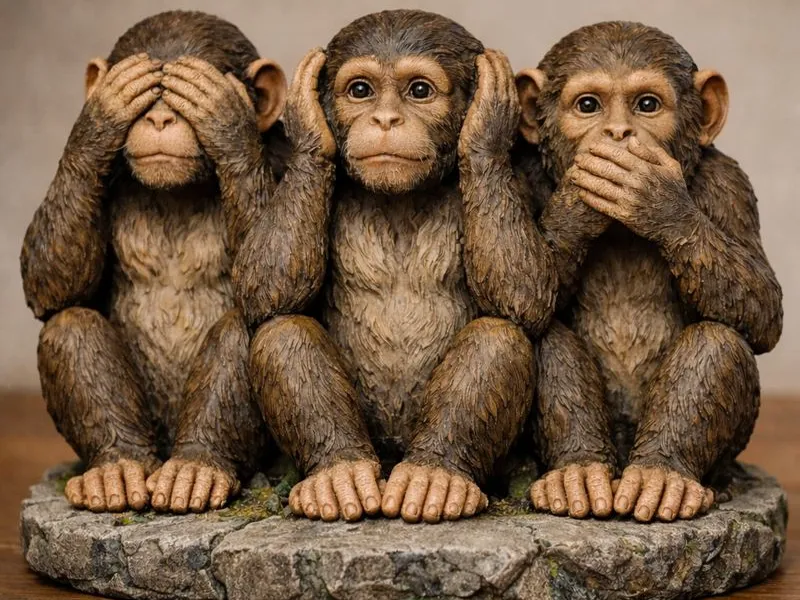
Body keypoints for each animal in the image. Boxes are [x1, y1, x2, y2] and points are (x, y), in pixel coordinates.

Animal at [20, 11, 289, 513]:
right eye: (148, 92)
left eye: (181, 94)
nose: (160, 116)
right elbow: (49, 282)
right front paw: (102, 113)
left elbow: (276, 273)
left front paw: (225, 120)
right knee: (69, 322)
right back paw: (117, 468)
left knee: (242, 324)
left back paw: (198, 466)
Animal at [232, 9, 559, 523]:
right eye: (360, 90)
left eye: (419, 91)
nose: (385, 118)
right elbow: (262, 285)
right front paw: (308, 124)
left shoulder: (525, 182)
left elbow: (527, 292)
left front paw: (488, 123)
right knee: (281, 327)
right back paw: (338, 473)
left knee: (500, 333)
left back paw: (435, 475)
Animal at [512, 21, 782, 522]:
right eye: (588, 105)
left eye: (647, 105)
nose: (618, 133)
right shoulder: (524, 176)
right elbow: (520, 284)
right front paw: (578, 203)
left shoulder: (730, 184)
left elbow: (764, 306)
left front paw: (658, 199)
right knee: (544, 333)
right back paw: (578, 472)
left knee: (719, 338)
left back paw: (663, 476)